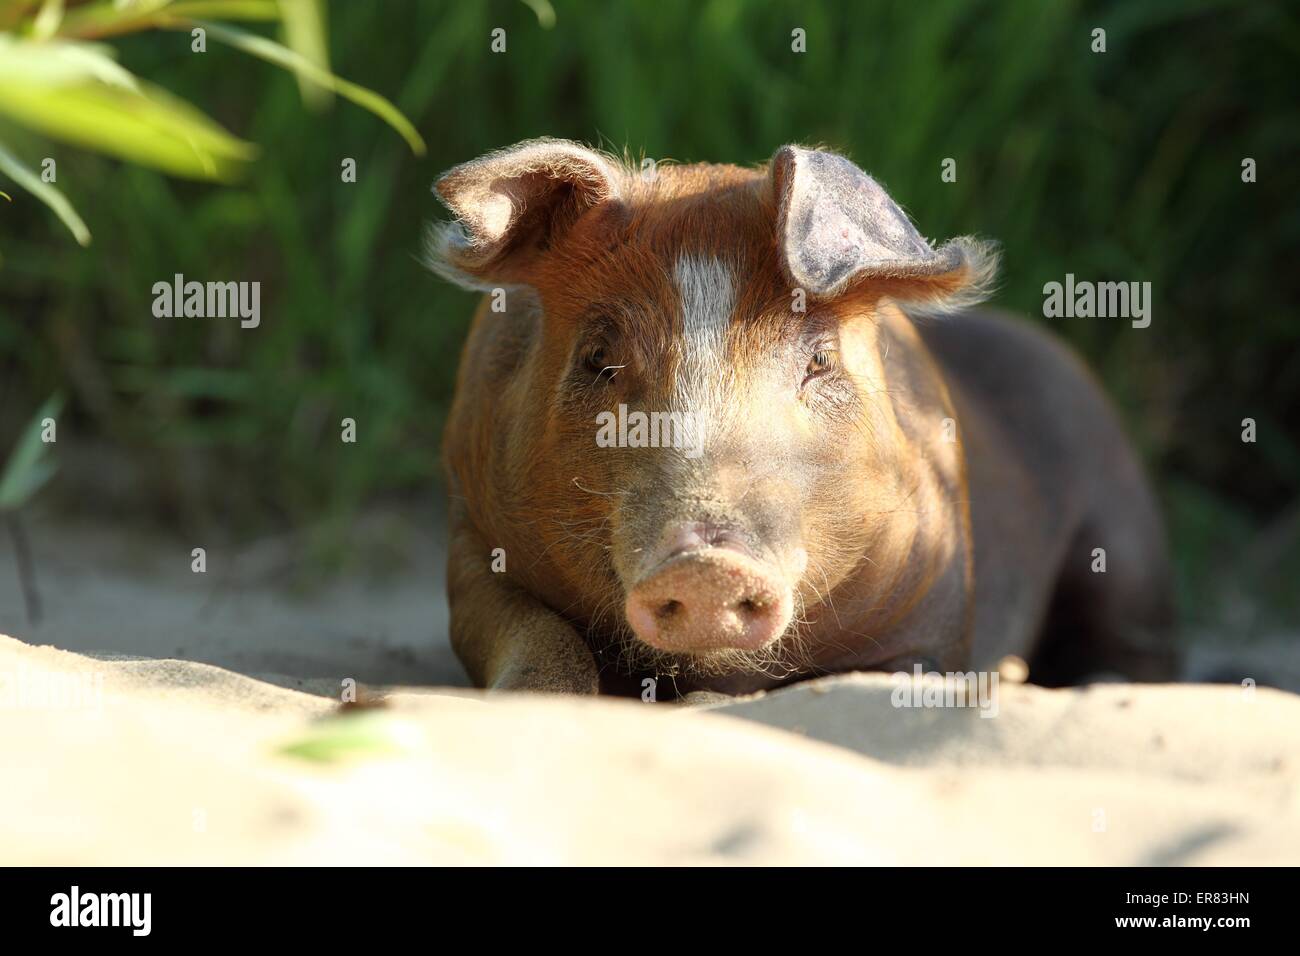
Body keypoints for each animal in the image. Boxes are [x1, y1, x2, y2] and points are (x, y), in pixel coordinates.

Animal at [426, 138, 1177, 698]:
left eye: (819, 358)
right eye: (598, 357)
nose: (706, 565)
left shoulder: (935, 603)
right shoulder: (470, 537)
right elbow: (533, 637)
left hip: (1127, 540)